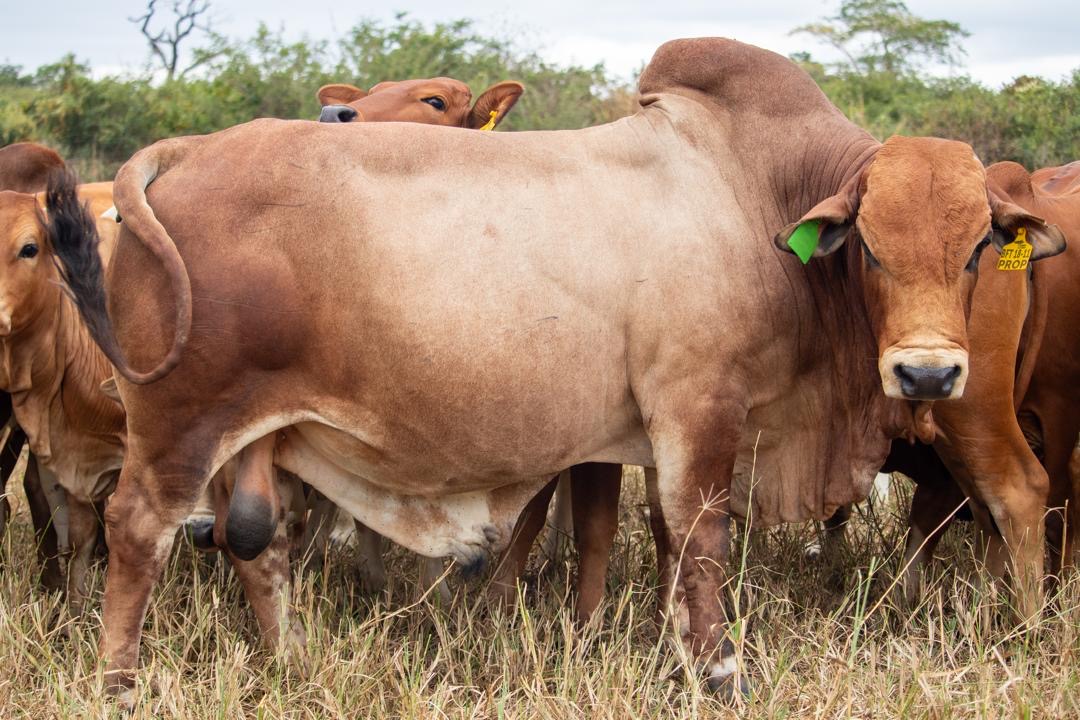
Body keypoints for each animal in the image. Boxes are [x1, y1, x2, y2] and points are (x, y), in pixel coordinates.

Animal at [50, 38, 1065, 698]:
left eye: (979, 248)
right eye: (875, 251)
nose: (927, 377)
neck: (756, 194)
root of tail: (187, 151)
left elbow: (657, 546)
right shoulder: (699, 409)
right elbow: (699, 543)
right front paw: (720, 673)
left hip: (252, 434)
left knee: (255, 545)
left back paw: (288, 663)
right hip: (181, 423)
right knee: (138, 529)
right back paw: (119, 681)